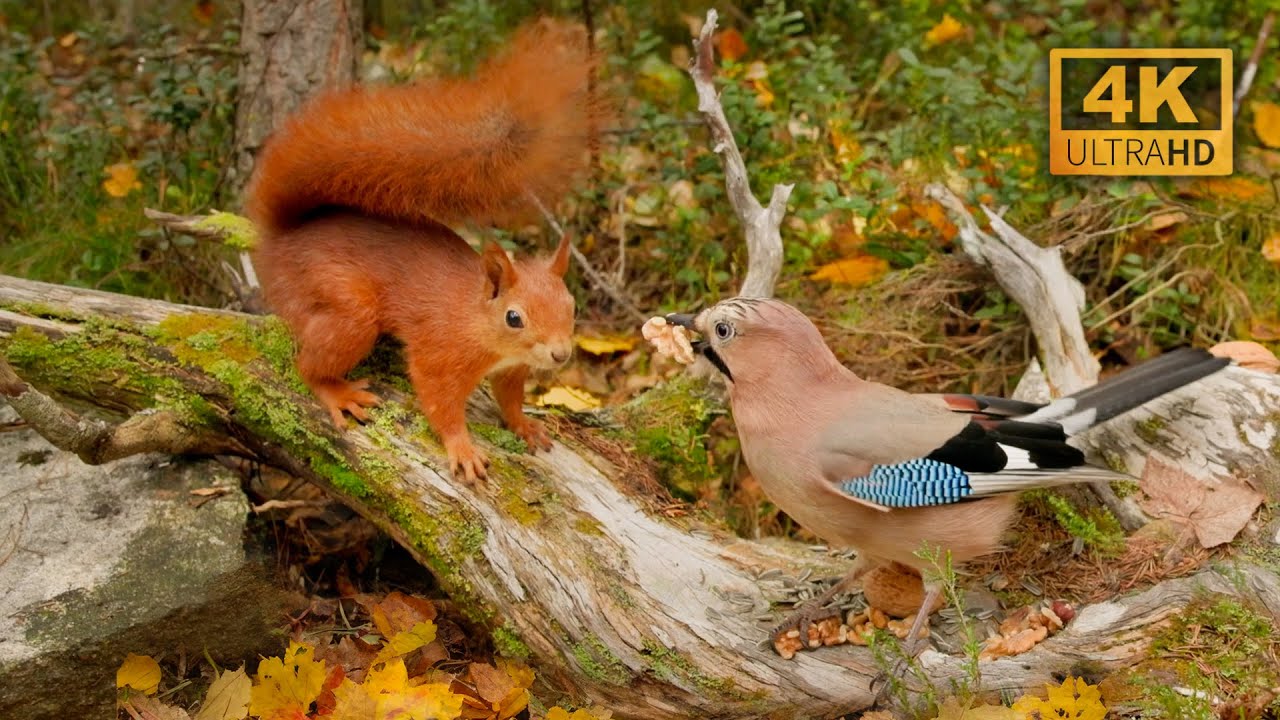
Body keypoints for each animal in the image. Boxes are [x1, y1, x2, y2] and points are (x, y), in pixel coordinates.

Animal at [245, 19, 604, 482]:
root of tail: (279, 239)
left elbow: (509, 398)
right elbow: (439, 400)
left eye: (571, 305)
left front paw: (524, 424)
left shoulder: (510, 370)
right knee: (307, 365)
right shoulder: (440, 352)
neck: (476, 321)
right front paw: (462, 448)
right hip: (344, 307)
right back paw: (337, 392)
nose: (560, 354)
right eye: (514, 317)